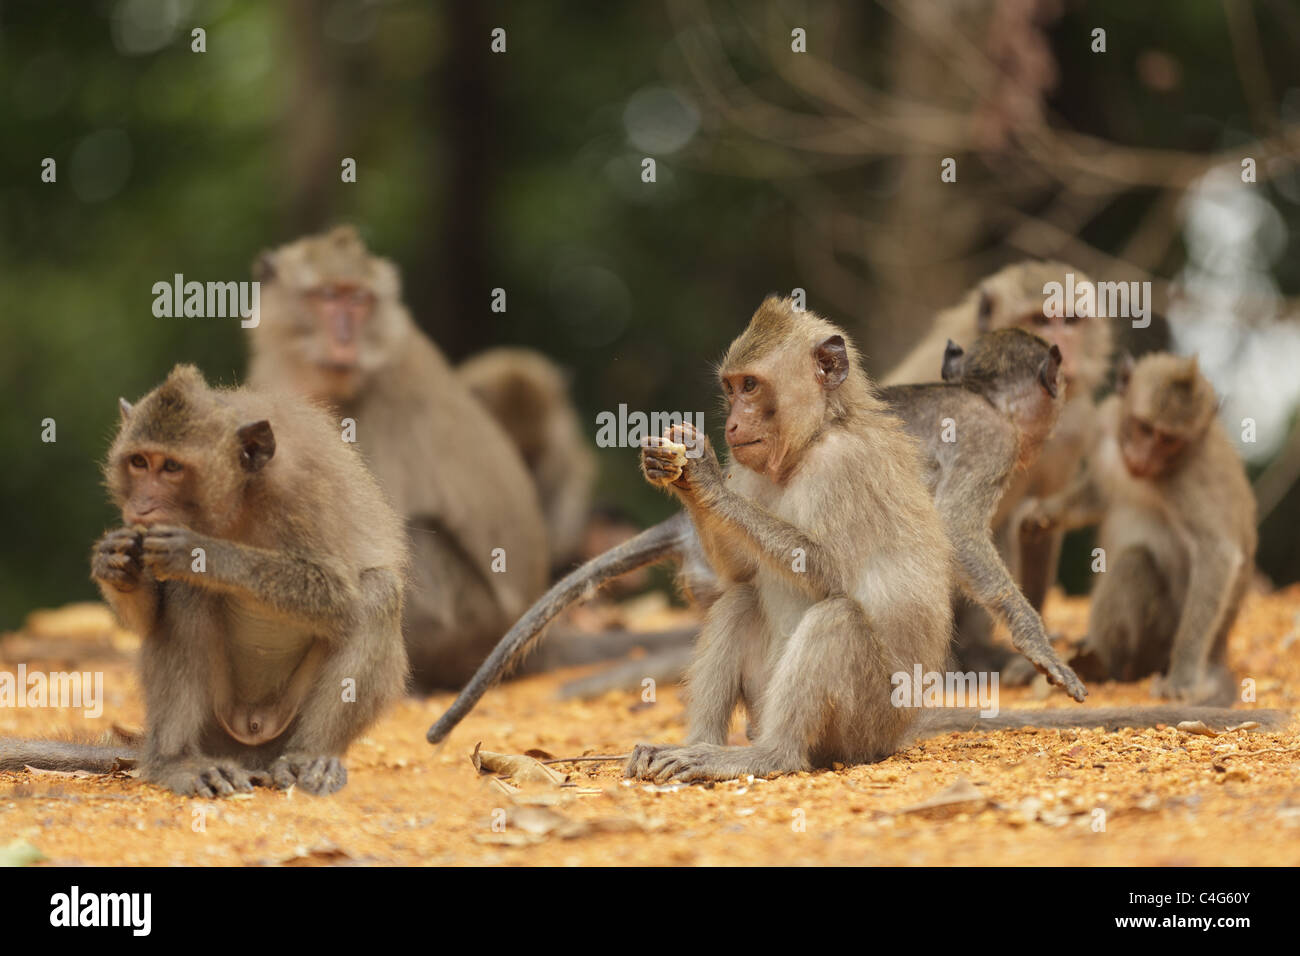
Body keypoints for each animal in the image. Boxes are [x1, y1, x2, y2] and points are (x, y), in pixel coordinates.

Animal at [0, 365, 408, 796]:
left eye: (171, 468)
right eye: (139, 461)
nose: (141, 506)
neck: (239, 499)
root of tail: (250, 748)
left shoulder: (305, 492)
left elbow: (337, 595)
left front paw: (198, 551)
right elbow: (151, 616)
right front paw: (114, 564)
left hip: (282, 726)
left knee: (377, 593)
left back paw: (310, 757)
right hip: (215, 726)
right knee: (187, 595)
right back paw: (177, 763)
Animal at [246, 225, 549, 690]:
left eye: (359, 300)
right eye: (329, 295)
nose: (345, 339)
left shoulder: (367, 416)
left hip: (472, 623)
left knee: (415, 541)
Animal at [884, 261, 1114, 677]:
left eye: (1070, 320)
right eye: (1040, 318)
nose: (1061, 349)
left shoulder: (1076, 427)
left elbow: (1038, 522)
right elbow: (956, 526)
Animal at [1019, 352, 1257, 705]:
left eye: (1169, 440)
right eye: (1145, 428)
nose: (1142, 460)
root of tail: (1219, 650)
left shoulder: (1189, 476)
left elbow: (1218, 552)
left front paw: (1183, 676)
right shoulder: (1105, 424)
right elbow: (1100, 494)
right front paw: (1046, 513)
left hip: (1159, 639)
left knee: (1134, 562)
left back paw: (1105, 663)